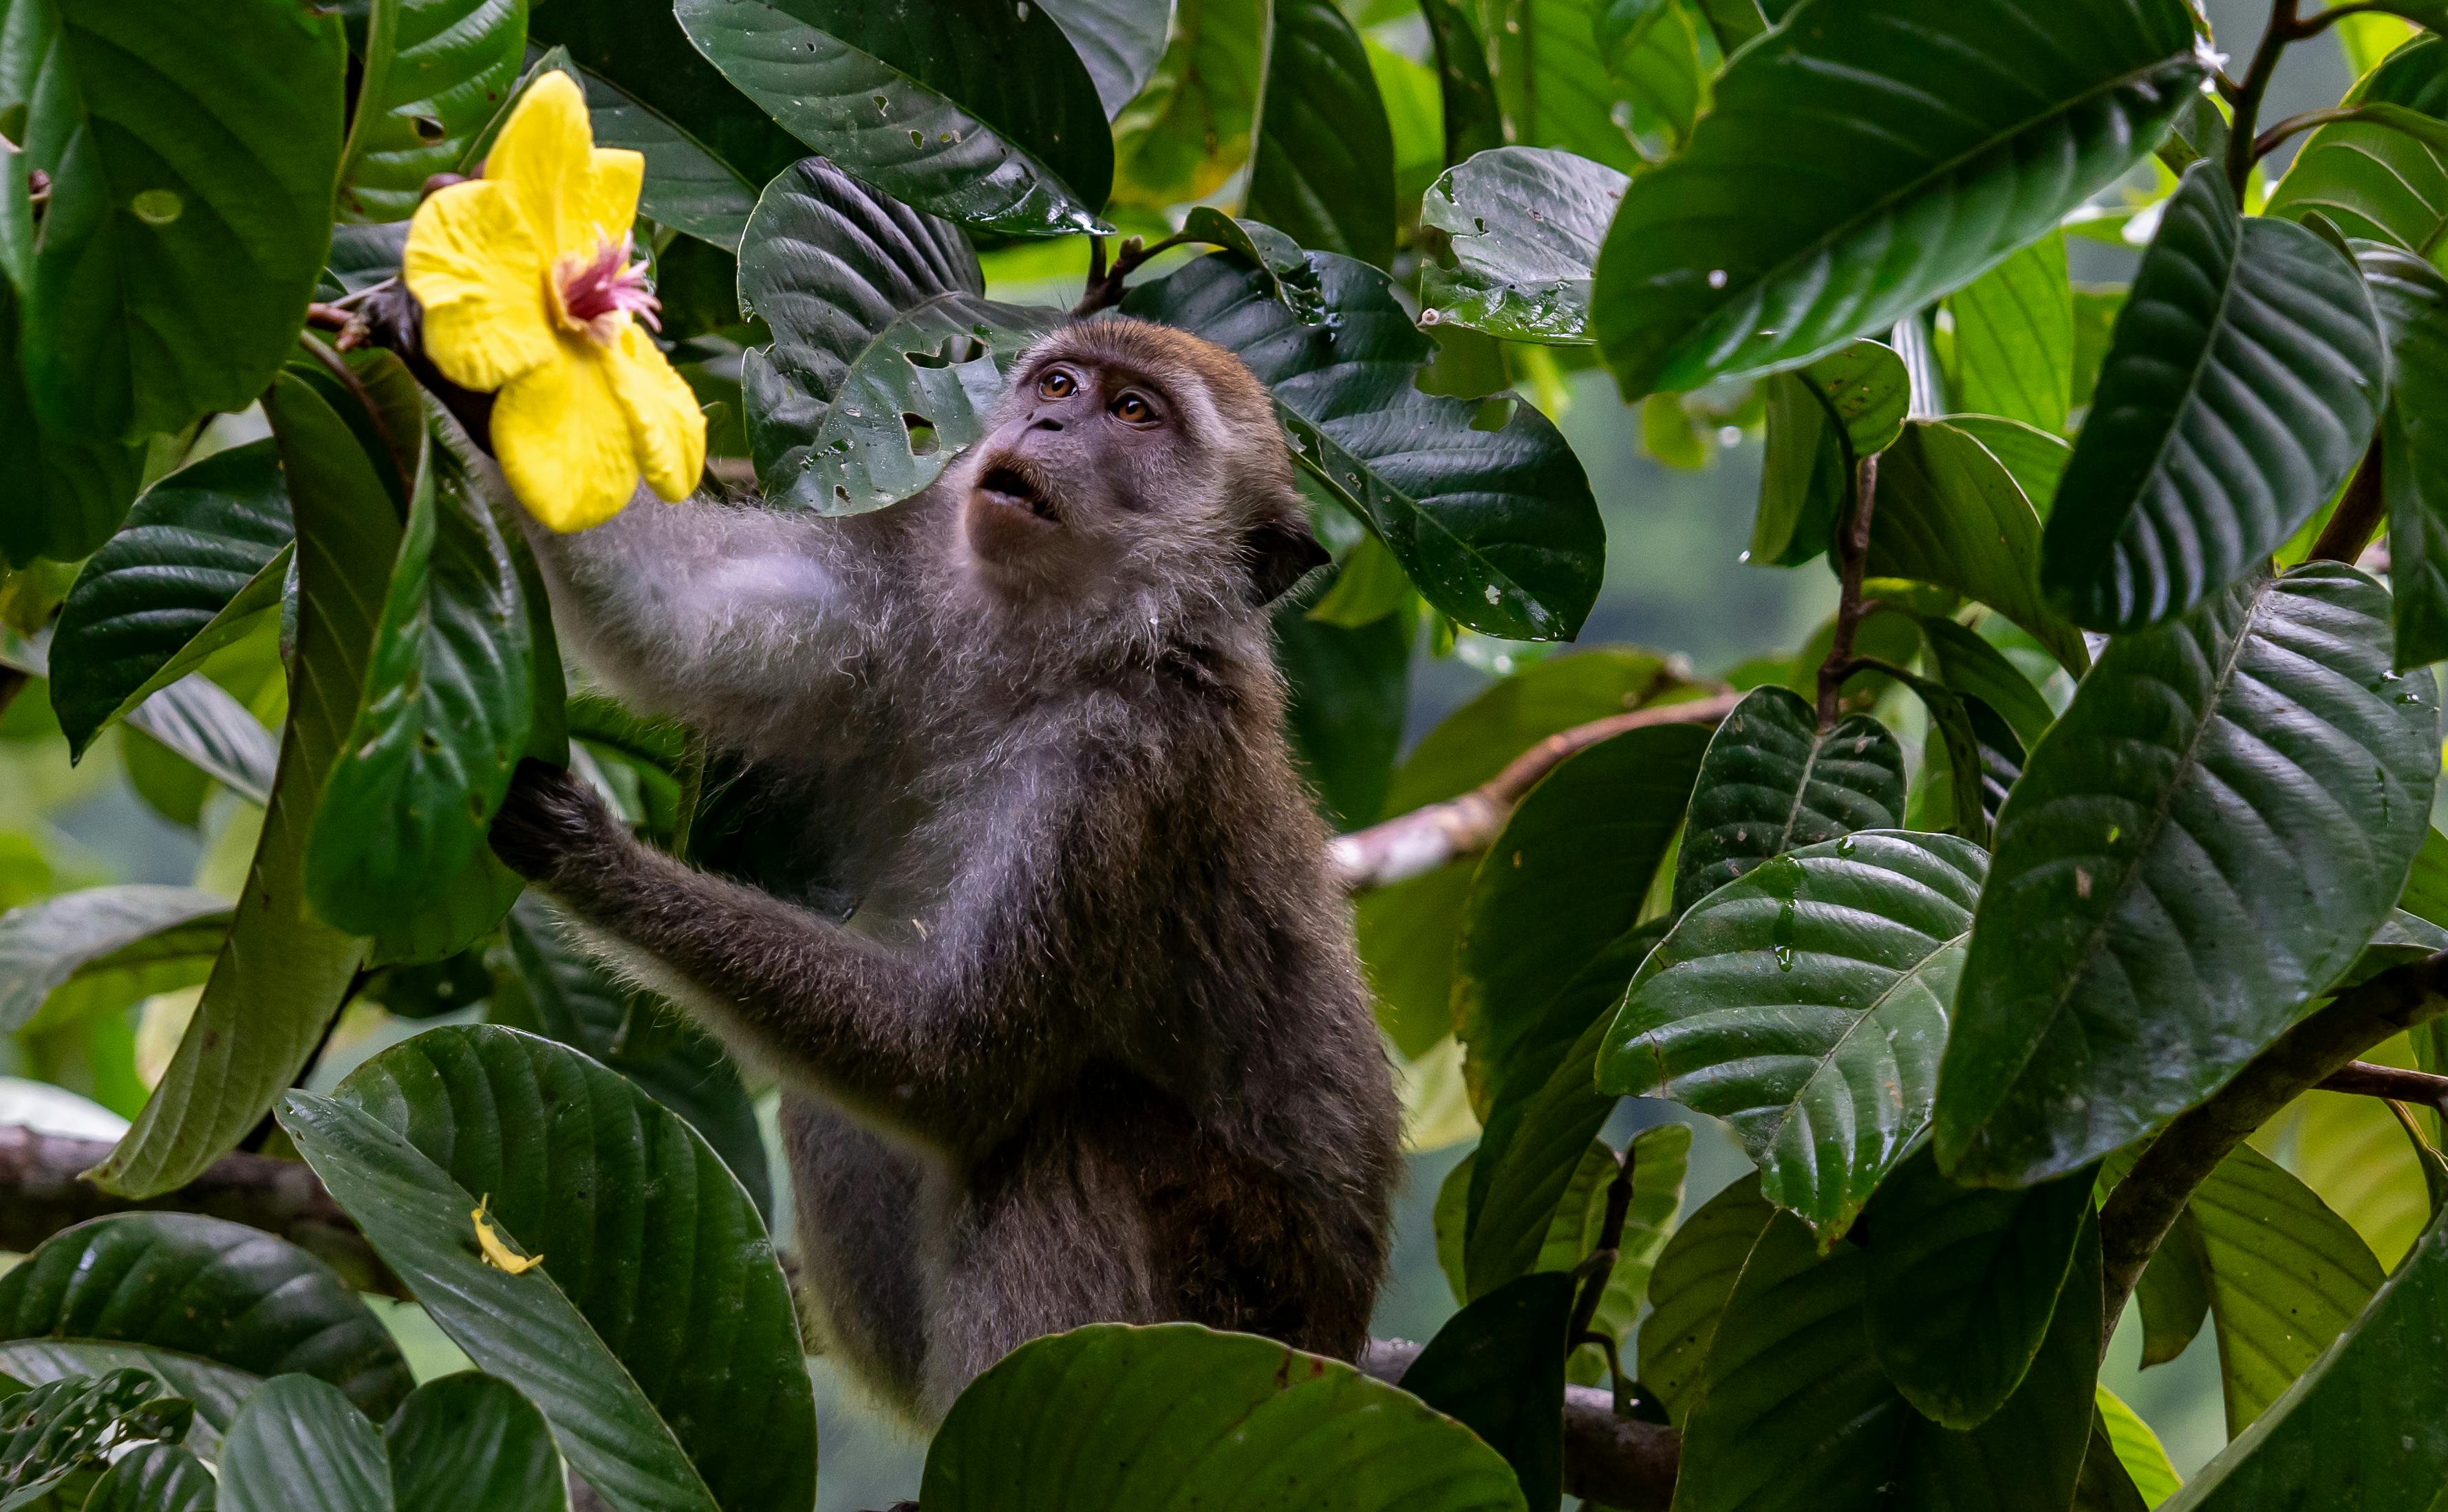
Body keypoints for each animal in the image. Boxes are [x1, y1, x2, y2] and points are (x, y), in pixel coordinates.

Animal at [475, 314, 1404, 1426]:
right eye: (1060, 384)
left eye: (1135, 411)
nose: (1045, 423)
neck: (1060, 643)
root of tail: (1335, 1343)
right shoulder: (904, 595)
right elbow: (678, 621)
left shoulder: (1125, 768)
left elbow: (955, 1059)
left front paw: (593, 855)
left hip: (1243, 1318)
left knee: (1071, 1128)